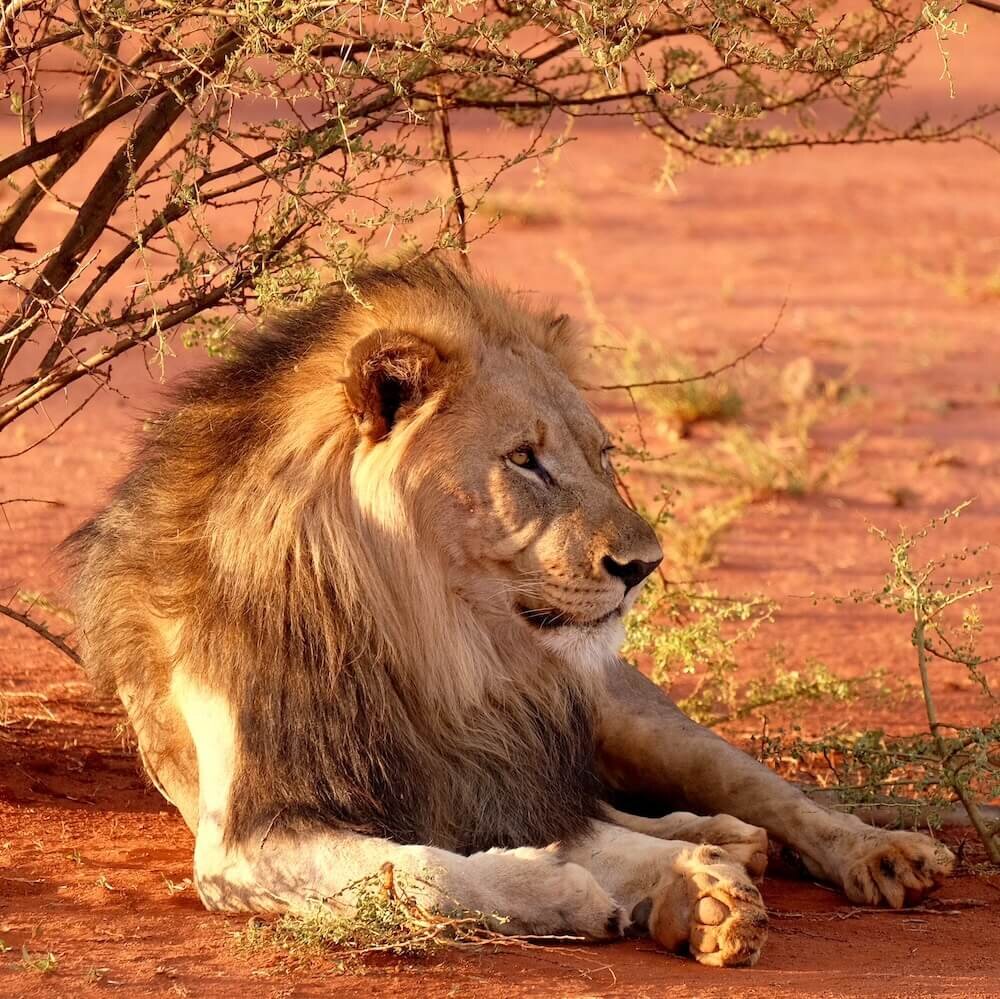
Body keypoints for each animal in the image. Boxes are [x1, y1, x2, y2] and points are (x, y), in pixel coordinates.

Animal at [66, 259, 953, 968]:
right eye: (525, 460)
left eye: (602, 456)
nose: (645, 566)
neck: (429, 640)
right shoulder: (244, 838)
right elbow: (423, 867)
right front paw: (597, 890)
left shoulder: (487, 766)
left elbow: (567, 831)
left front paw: (691, 885)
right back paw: (718, 841)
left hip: (621, 710)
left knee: (762, 787)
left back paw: (874, 852)